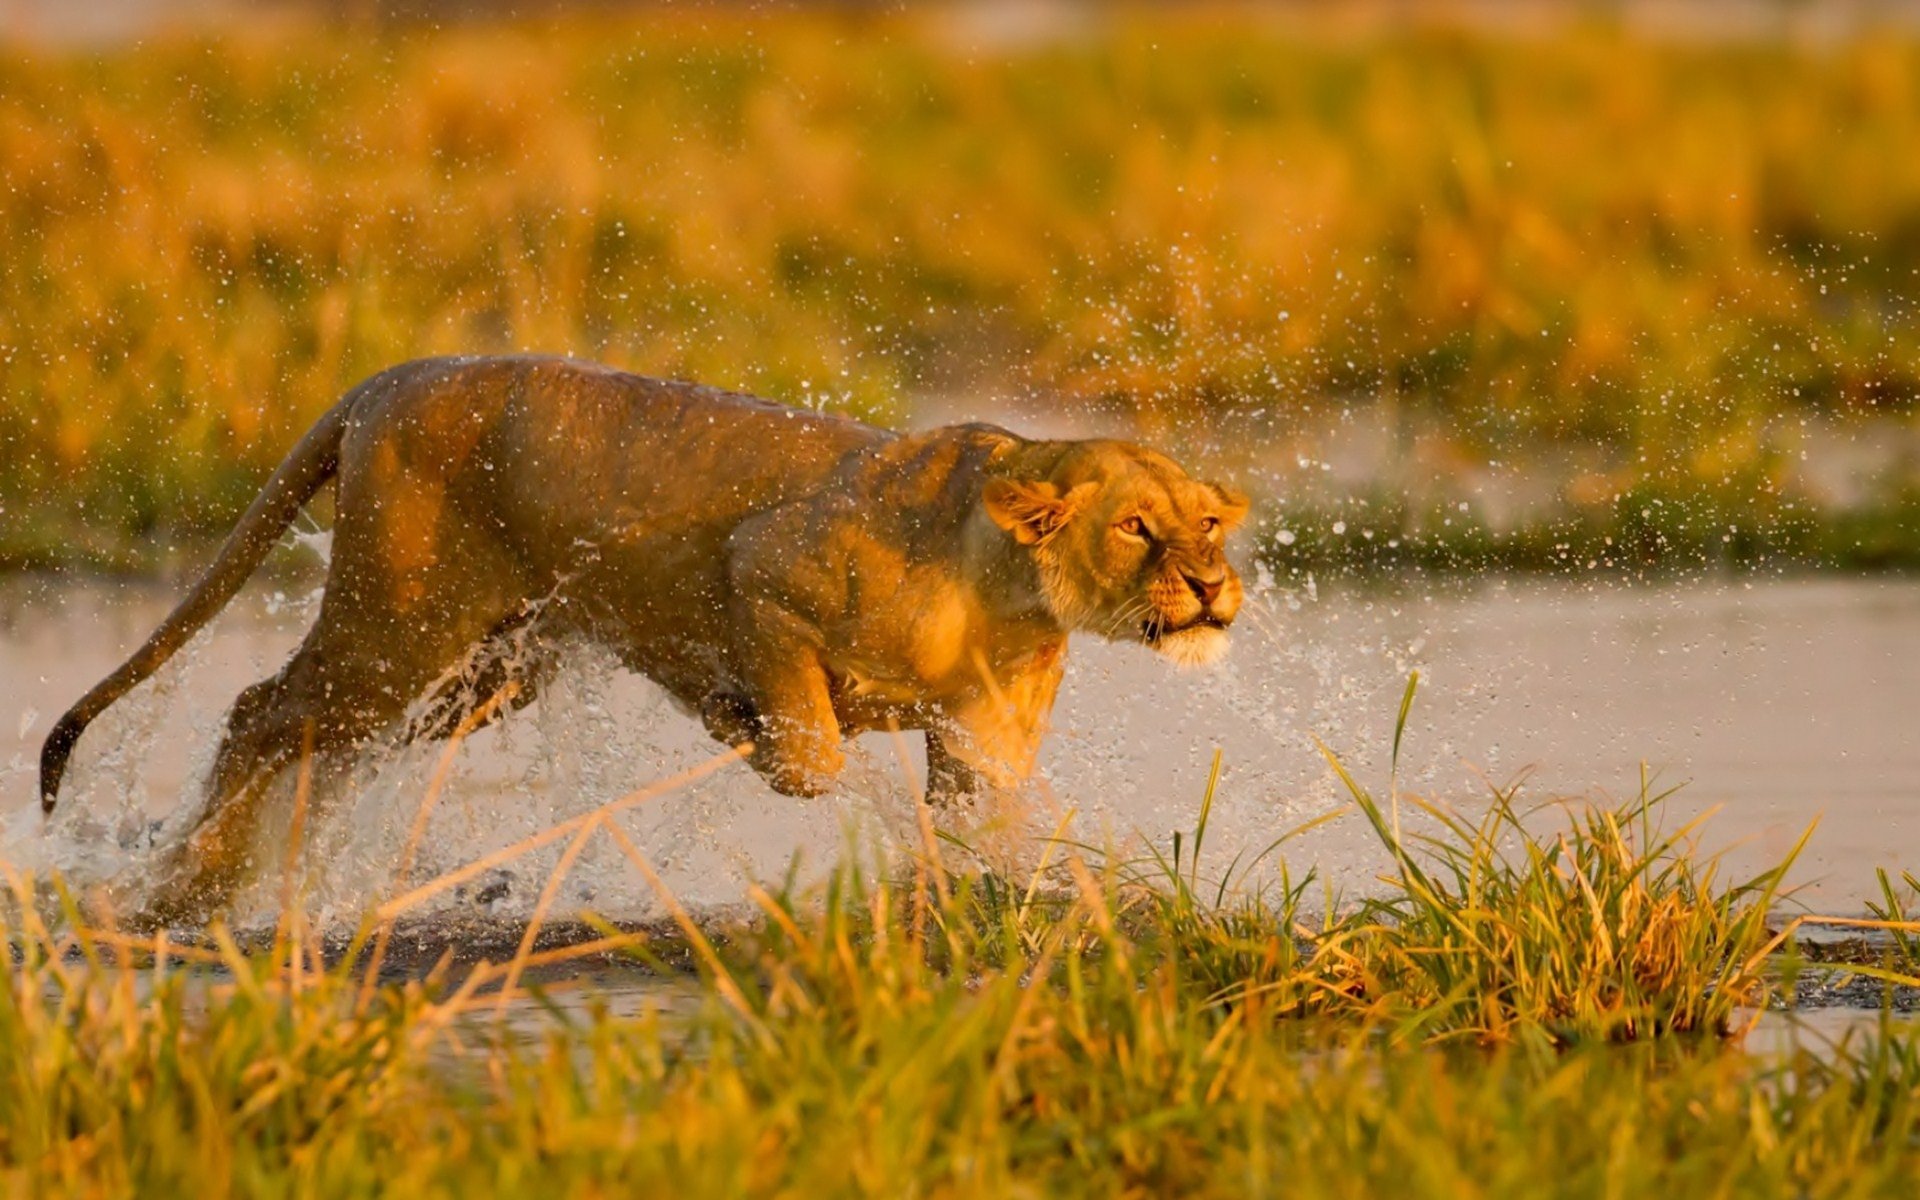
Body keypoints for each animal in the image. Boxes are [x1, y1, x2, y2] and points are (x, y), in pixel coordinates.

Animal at [40, 355, 1248, 922]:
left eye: (1205, 522)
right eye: (1136, 525)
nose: (1211, 585)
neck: (1015, 597)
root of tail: (389, 377)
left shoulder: (983, 751)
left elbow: (979, 836)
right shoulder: (761, 569)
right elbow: (813, 755)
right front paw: (742, 724)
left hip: (481, 672)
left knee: (316, 745)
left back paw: (230, 889)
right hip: (400, 623)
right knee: (262, 712)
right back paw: (183, 897)